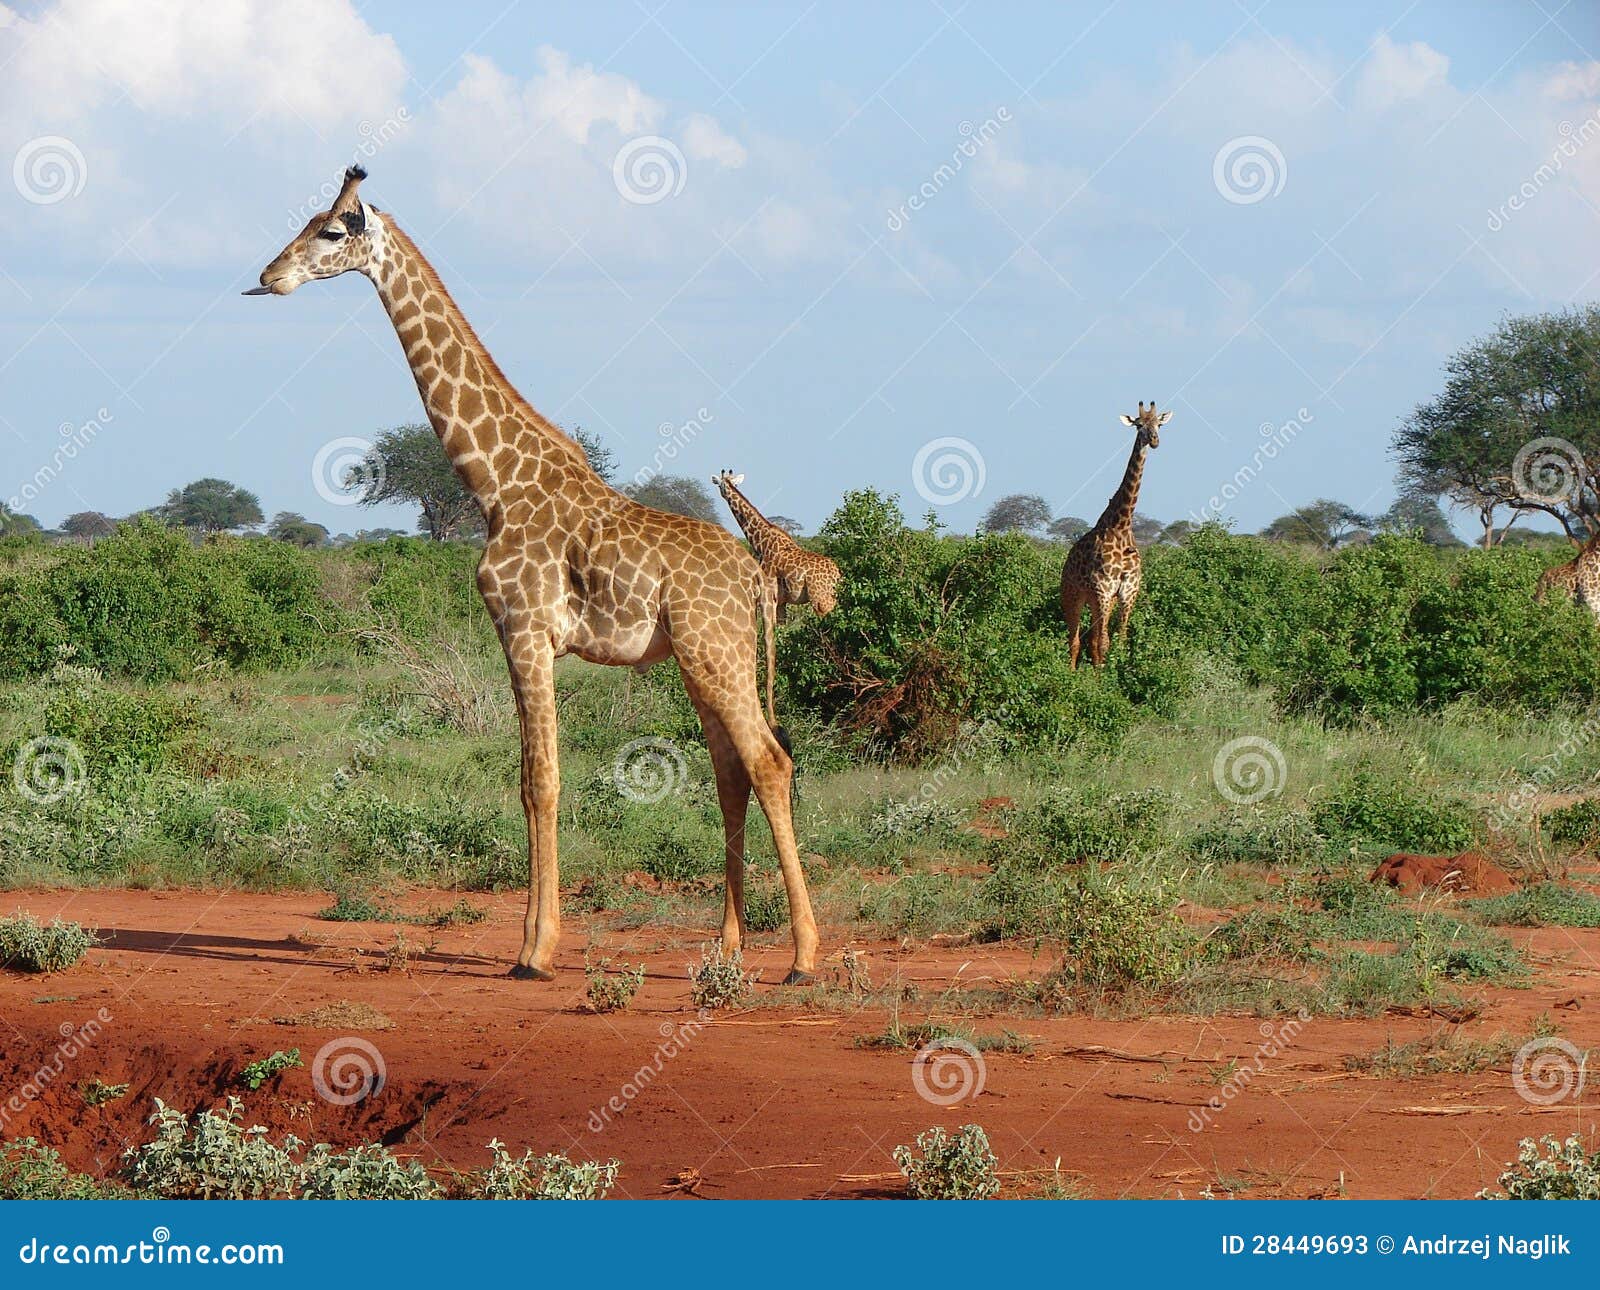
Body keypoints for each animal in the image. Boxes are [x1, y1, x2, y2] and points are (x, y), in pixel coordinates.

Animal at [245, 167, 818, 984]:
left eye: (329, 231)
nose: (269, 276)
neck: (494, 482)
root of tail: (756, 579)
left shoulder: (524, 630)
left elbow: (538, 780)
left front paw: (534, 951)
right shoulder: (525, 636)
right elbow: (530, 778)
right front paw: (535, 940)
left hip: (715, 653)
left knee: (770, 762)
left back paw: (804, 955)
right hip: (705, 658)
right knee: (731, 772)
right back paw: (729, 945)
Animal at [1059, 401, 1170, 668]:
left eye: (1159, 424)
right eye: (1138, 425)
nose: (1154, 441)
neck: (1121, 526)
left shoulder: (1127, 591)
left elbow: (1119, 640)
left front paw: (1117, 673)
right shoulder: (1104, 587)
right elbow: (1103, 642)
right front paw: (1103, 679)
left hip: (1096, 599)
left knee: (1090, 638)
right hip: (1073, 594)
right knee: (1074, 639)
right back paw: (1071, 673)